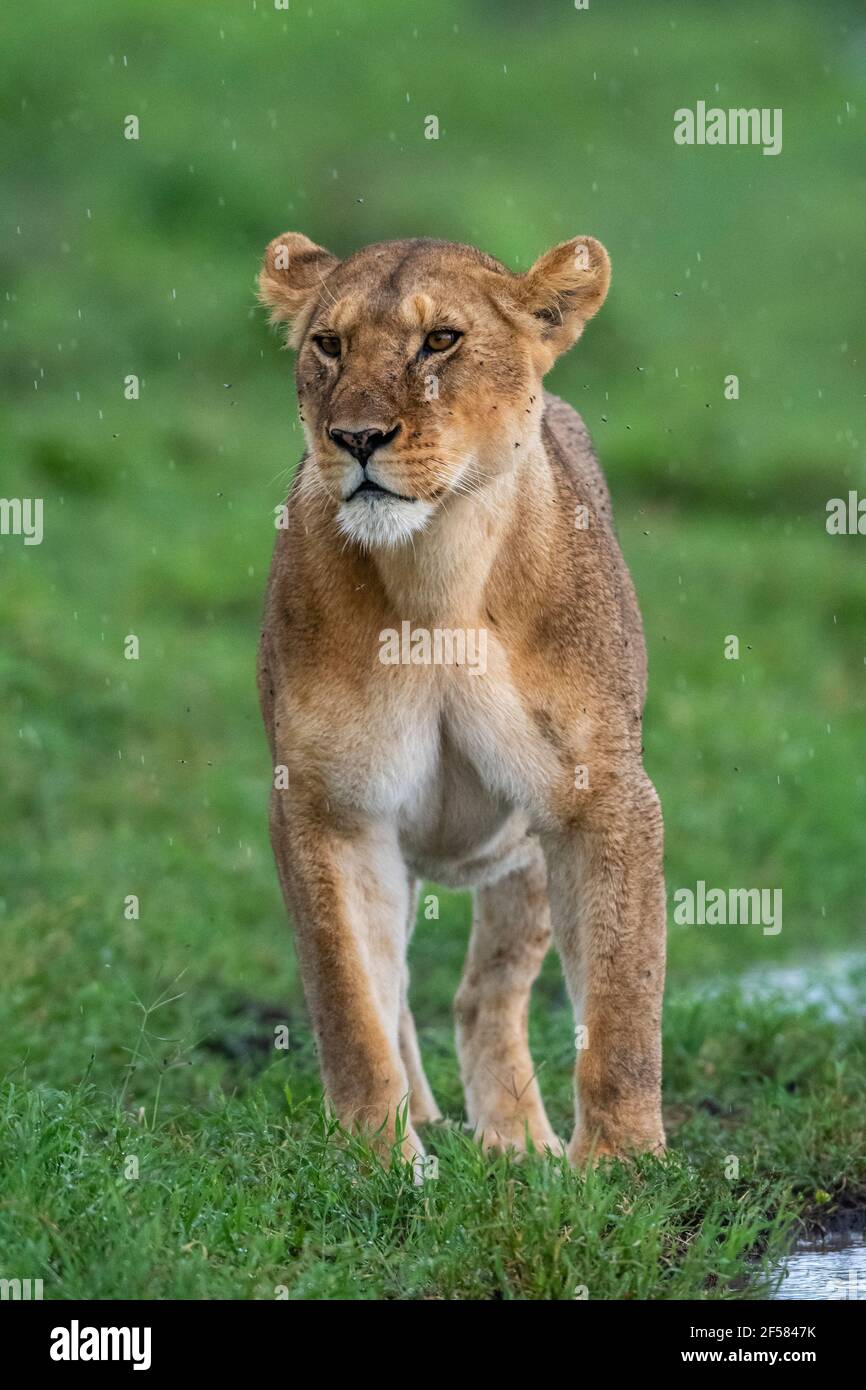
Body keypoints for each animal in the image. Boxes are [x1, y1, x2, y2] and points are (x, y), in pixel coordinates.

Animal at [257, 232, 666, 1167]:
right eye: (328, 344)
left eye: (440, 340)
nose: (356, 437)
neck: (435, 575)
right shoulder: (329, 805)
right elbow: (350, 1001)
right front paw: (377, 1160)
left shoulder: (604, 796)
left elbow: (623, 1003)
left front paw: (623, 1165)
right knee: (404, 992)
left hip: (522, 858)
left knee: (487, 995)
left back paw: (519, 1143)